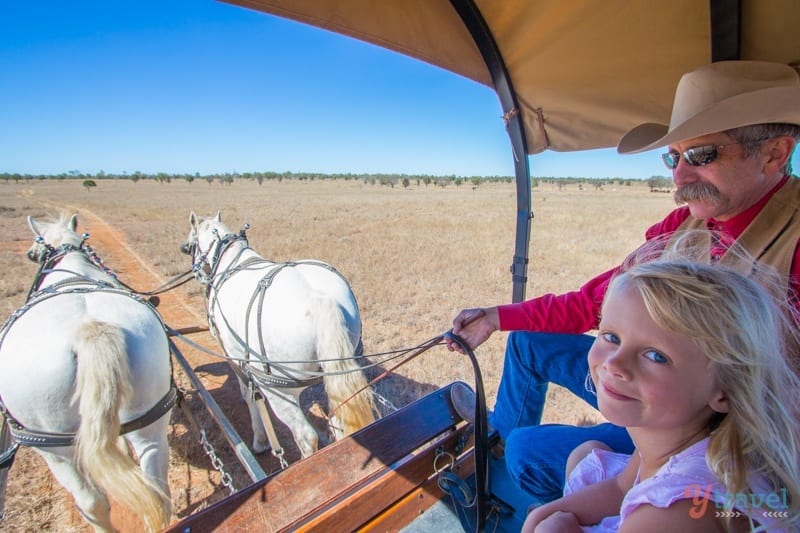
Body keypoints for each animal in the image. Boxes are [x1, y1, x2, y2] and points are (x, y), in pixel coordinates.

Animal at [0, 213, 173, 532]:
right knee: (156, 490)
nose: (31, 254)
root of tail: (90, 328)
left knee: (92, 502)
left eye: (33, 253)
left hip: (52, 444)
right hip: (151, 417)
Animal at [181, 210, 378, 460]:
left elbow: (248, 394)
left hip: (279, 390)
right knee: (339, 424)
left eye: (191, 244)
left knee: (306, 436)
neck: (229, 260)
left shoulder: (234, 356)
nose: (184, 247)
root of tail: (319, 301)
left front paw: (260, 441)